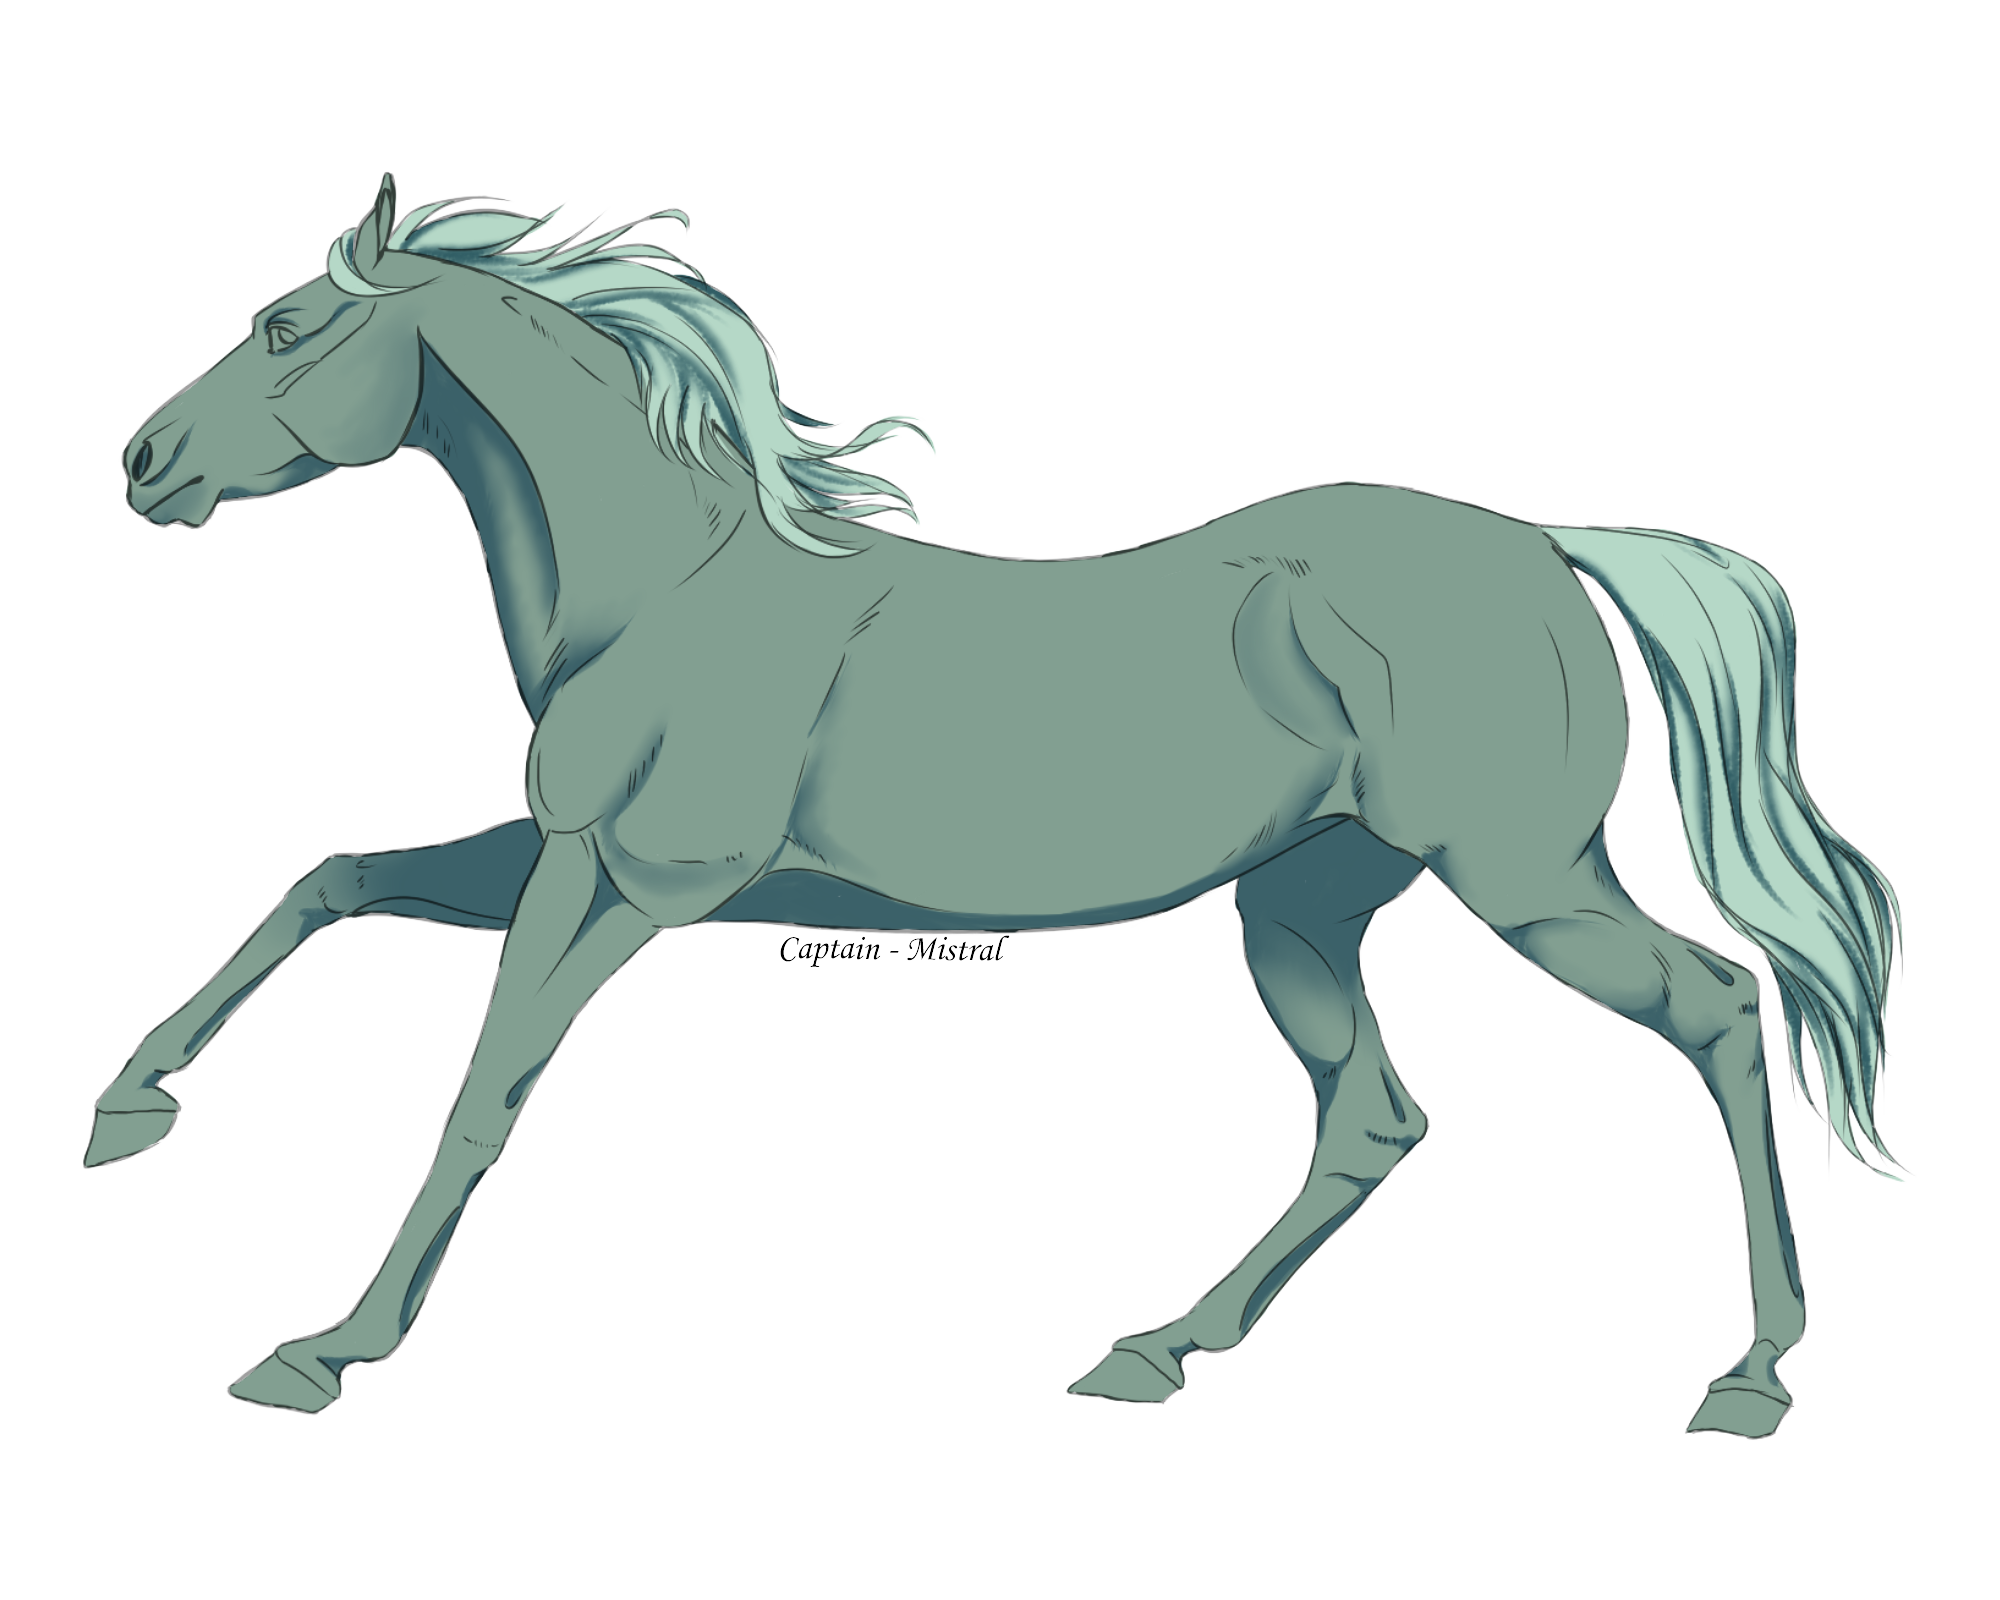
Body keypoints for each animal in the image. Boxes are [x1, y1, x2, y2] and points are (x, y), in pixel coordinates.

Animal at [97, 174, 1900, 1436]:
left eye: (282, 326)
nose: (142, 466)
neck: (671, 589)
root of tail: (1544, 542)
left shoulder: (636, 886)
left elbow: (483, 1091)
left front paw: (321, 1351)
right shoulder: (557, 852)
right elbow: (329, 877)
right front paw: (128, 1110)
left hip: (1521, 877)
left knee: (1717, 1007)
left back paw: (1750, 1377)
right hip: (1302, 907)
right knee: (1374, 1116)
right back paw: (1152, 1351)